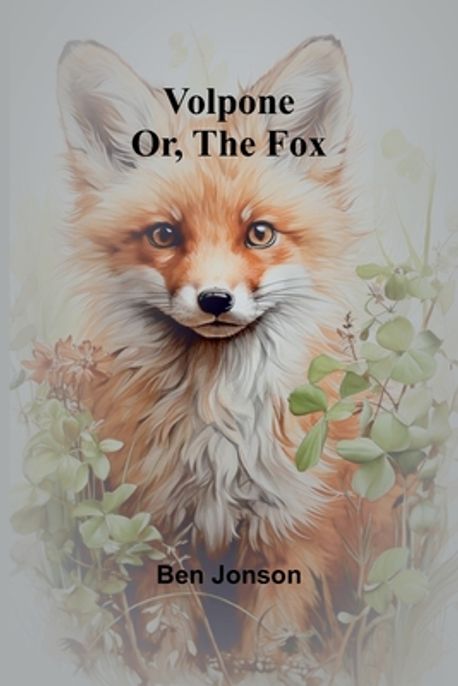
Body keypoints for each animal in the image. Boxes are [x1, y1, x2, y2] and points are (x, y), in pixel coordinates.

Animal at [57, 36, 396, 678]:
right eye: (164, 235)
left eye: (259, 233)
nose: (215, 299)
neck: (219, 429)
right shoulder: (159, 528)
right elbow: (169, 640)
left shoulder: (293, 532)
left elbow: (267, 645)